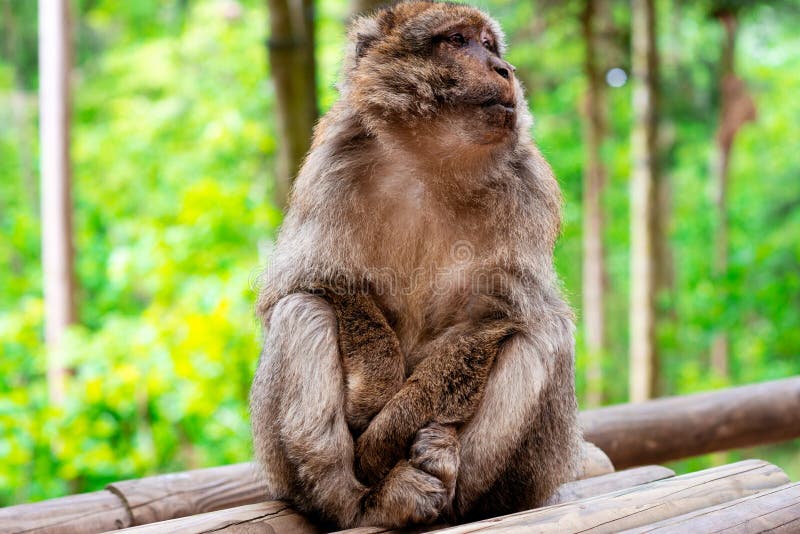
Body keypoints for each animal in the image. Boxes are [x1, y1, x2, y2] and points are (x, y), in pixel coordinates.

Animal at [250, 1, 583, 529]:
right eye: (457, 41)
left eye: (489, 45)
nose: (504, 69)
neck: (432, 161)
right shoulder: (331, 166)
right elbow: (311, 282)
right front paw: (375, 390)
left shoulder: (528, 191)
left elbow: (497, 317)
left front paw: (386, 434)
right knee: (302, 310)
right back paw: (363, 504)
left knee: (541, 335)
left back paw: (445, 482)